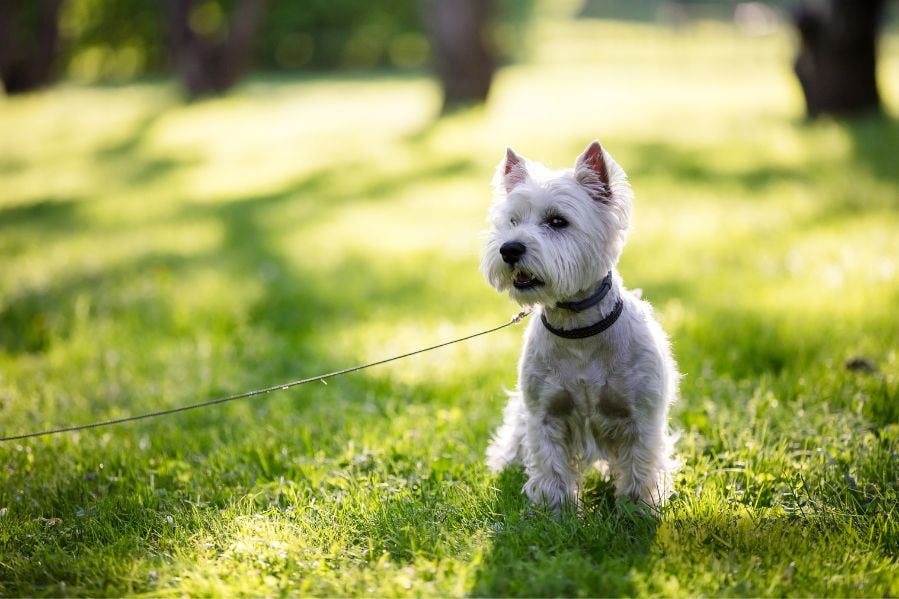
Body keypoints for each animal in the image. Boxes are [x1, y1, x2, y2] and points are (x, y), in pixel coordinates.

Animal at [482, 141, 680, 510]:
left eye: (557, 221)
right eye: (512, 221)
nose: (509, 249)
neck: (578, 330)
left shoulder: (640, 416)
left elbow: (639, 465)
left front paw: (637, 509)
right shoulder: (545, 414)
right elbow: (550, 465)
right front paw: (555, 510)